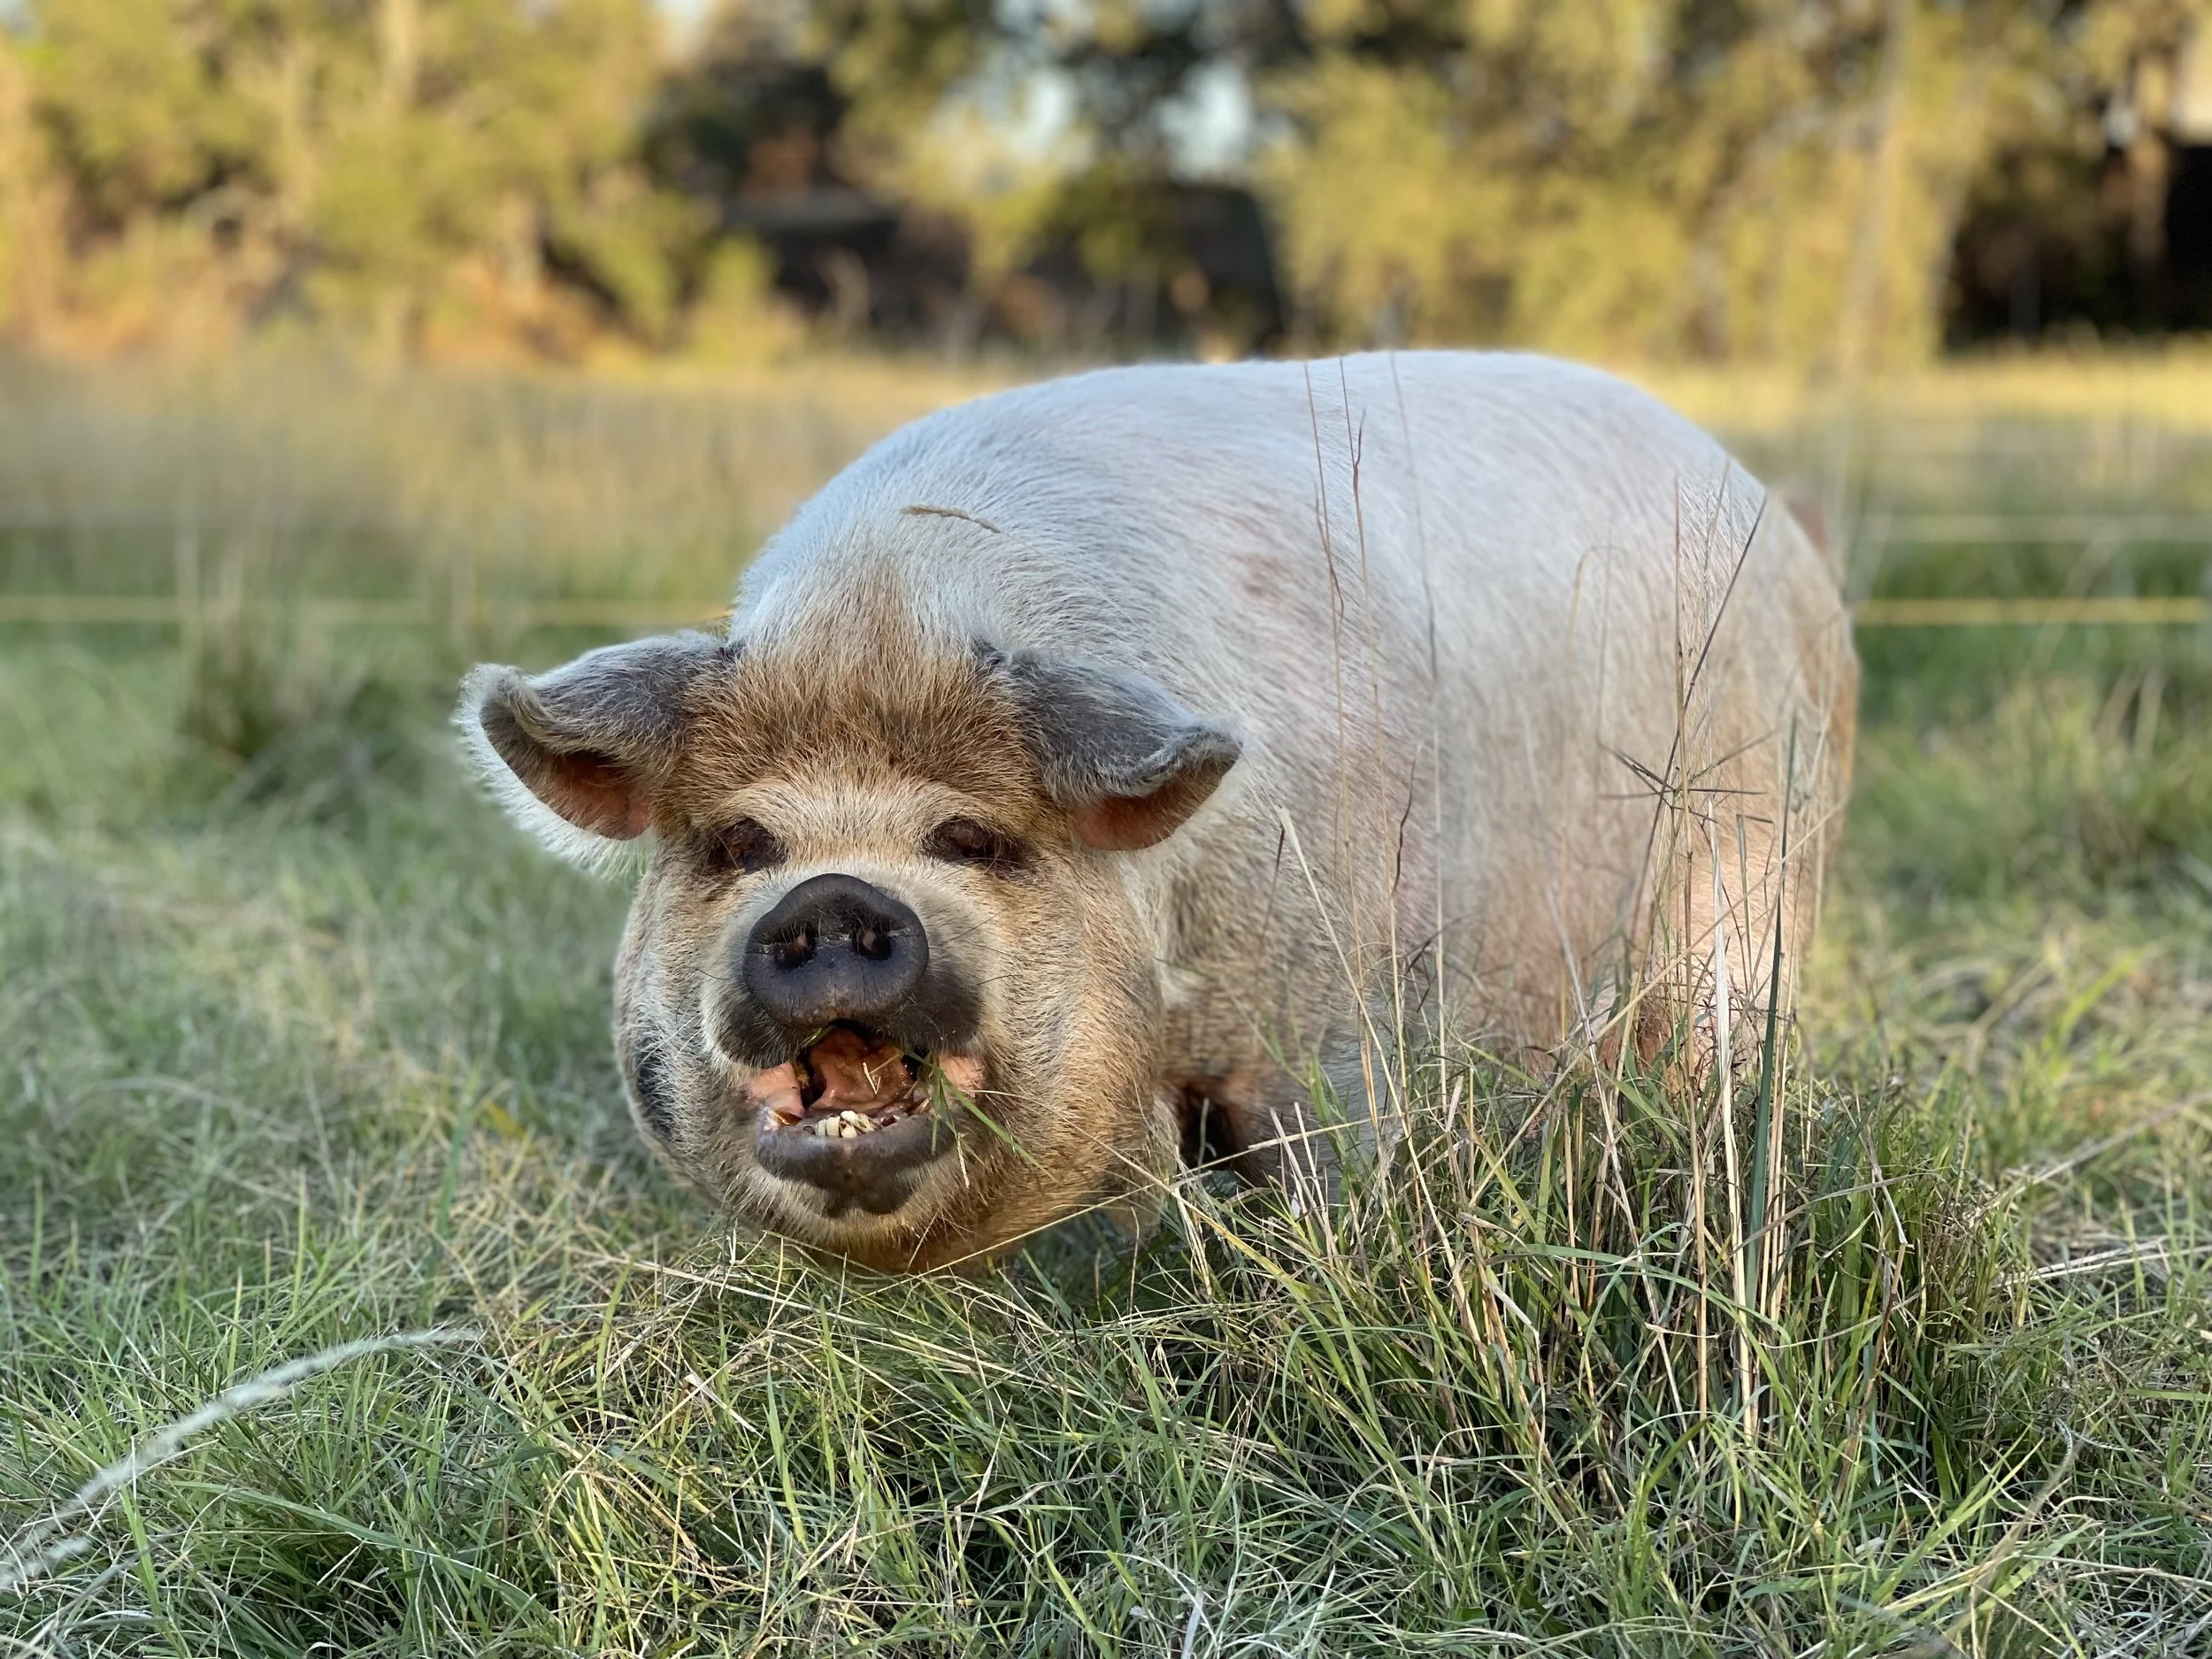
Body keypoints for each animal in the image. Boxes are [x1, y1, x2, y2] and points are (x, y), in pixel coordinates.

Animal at [459, 352, 1856, 1272]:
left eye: (973, 838)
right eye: (741, 843)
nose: (838, 895)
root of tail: (1774, 514)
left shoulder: (1337, 1018)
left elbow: (1327, 1170)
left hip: (1755, 880)